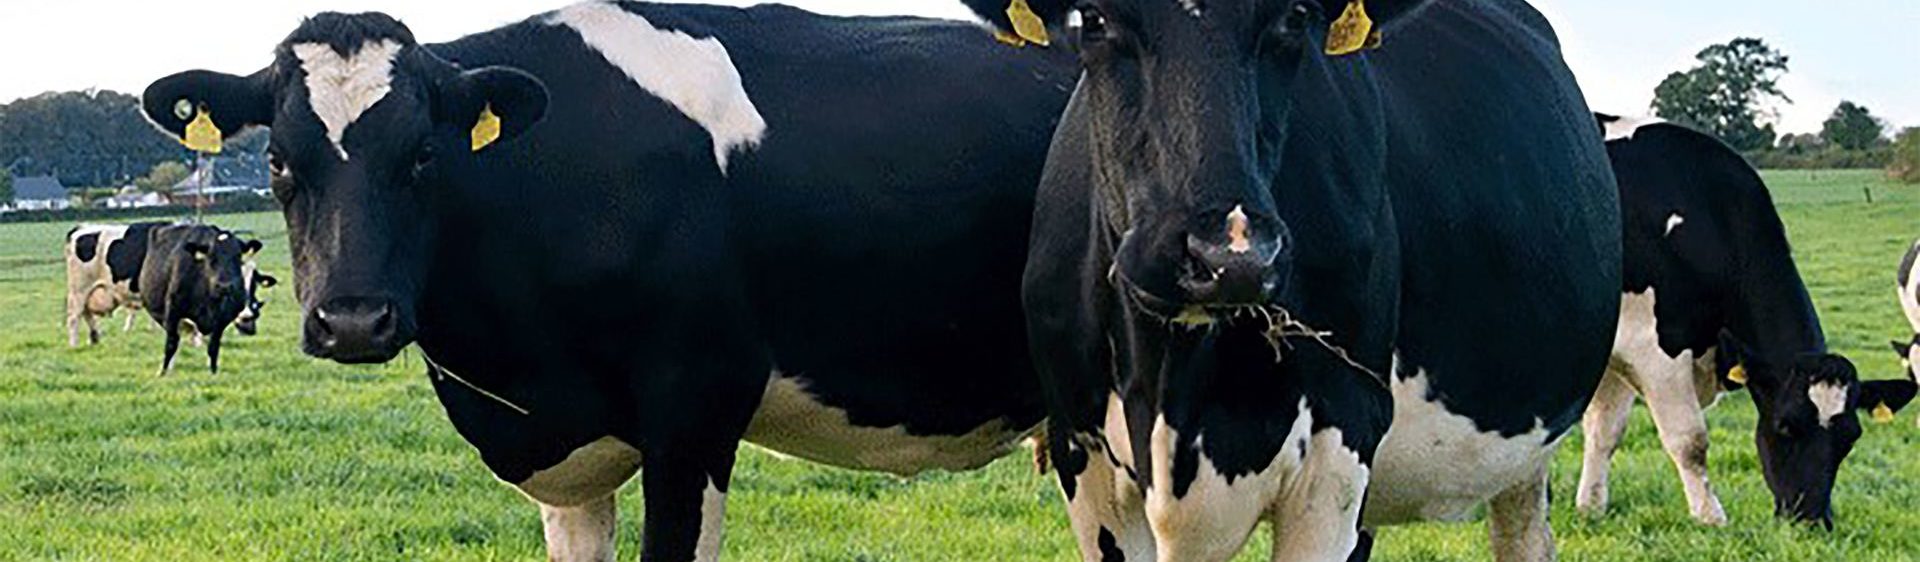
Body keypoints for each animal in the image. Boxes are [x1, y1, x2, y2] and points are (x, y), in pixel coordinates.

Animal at [139, 224, 263, 375]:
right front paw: (163, 372)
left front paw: (213, 372)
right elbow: (171, 344)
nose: (224, 286)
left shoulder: (222, 319)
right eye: (211, 257)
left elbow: (213, 347)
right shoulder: (173, 311)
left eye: (238, 257)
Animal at [1577, 114, 1918, 528]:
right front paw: (1710, 518)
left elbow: (1604, 431)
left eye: (1850, 437)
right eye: (1785, 425)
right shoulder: (1654, 347)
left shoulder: (1620, 345)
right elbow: (1689, 439)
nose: (1812, 520)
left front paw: (1590, 508)